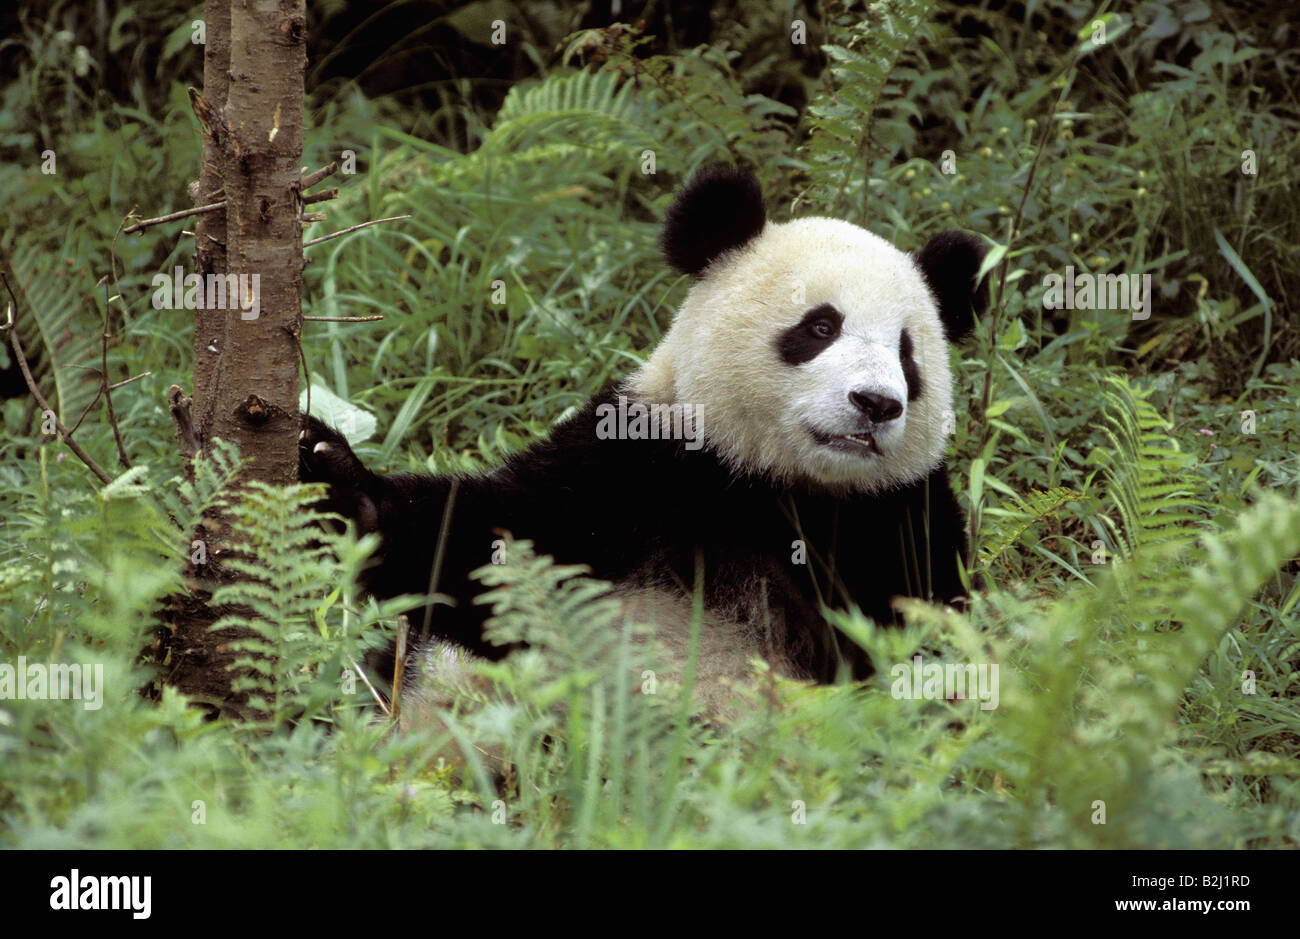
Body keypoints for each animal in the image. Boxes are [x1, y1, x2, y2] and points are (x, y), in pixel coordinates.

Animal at [300, 164, 988, 722]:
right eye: (820, 326)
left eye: (907, 353)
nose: (876, 403)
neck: (778, 483)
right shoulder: (631, 463)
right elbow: (488, 548)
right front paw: (333, 473)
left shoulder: (899, 516)